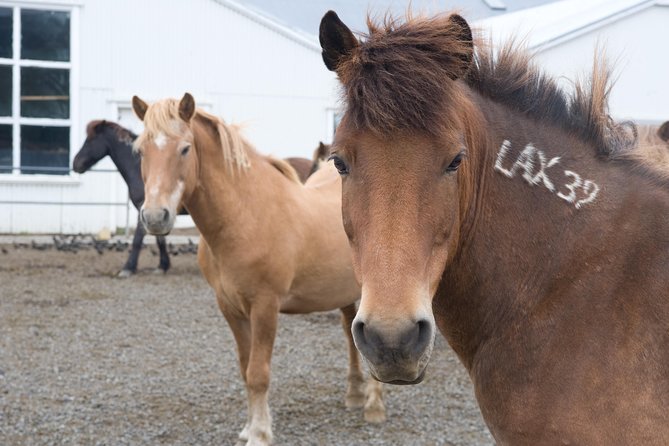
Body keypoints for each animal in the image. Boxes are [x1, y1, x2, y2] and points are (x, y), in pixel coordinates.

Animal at [73, 120, 314, 278]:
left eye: (90, 140)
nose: (76, 164)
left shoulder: (147, 209)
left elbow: (138, 240)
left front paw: (128, 268)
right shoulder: (156, 212)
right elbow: (159, 240)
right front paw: (163, 265)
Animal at [130, 94, 385, 445]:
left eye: (184, 149)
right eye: (141, 150)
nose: (155, 217)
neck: (245, 215)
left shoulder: (265, 307)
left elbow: (258, 374)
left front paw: (261, 433)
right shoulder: (230, 308)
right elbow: (245, 368)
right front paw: (248, 428)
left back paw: (374, 406)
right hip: (345, 292)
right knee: (350, 336)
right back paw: (355, 395)